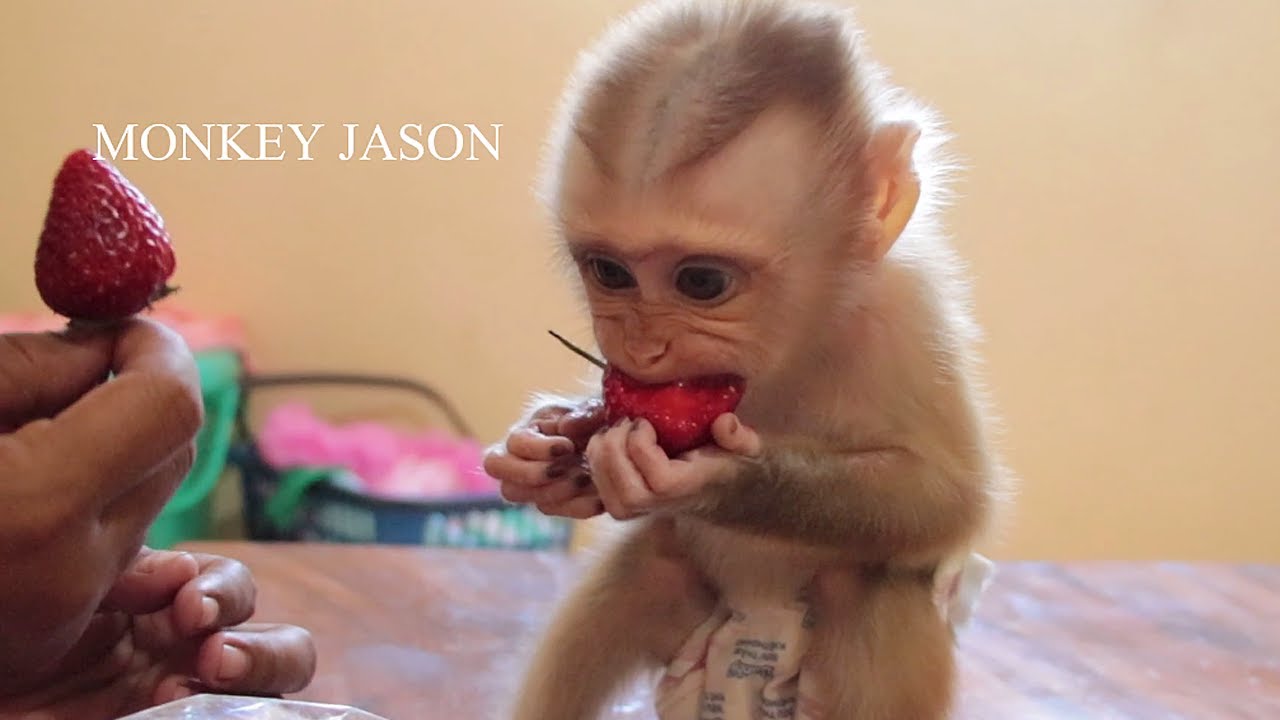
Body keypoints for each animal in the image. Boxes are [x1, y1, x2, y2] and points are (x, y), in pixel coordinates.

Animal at [483, 0, 1010, 718]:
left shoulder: (908, 319)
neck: (796, 347)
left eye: (702, 282)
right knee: (642, 572)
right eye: (610, 272)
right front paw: (542, 445)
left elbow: (949, 496)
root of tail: (755, 625)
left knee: (873, 592)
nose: (644, 348)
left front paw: (728, 478)